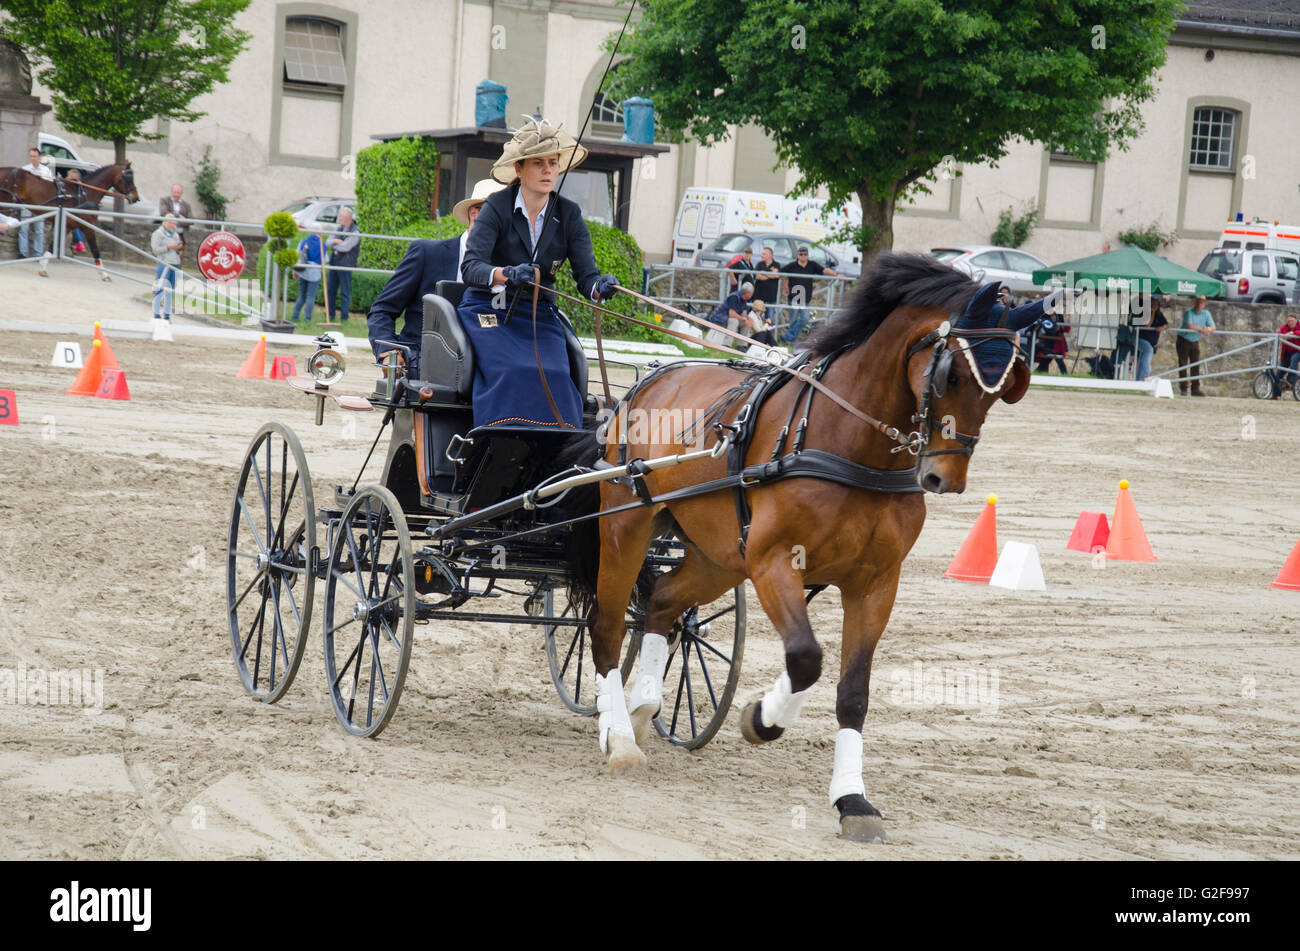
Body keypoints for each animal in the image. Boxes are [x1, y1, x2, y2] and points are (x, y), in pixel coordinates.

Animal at [0, 163, 139, 278]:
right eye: (129, 178)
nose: (136, 197)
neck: (85, 194)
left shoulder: (67, 225)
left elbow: (52, 246)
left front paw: (43, 268)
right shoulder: (87, 226)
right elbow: (95, 250)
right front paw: (104, 274)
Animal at [563, 252, 1055, 842]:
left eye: (1004, 387)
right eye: (951, 374)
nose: (944, 478)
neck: (848, 443)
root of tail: (654, 379)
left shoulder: (875, 583)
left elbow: (852, 690)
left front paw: (853, 800)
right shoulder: (773, 562)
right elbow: (805, 658)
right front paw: (762, 719)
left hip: (717, 556)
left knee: (661, 603)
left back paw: (642, 710)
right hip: (627, 525)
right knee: (608, 626)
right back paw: (618, 737)